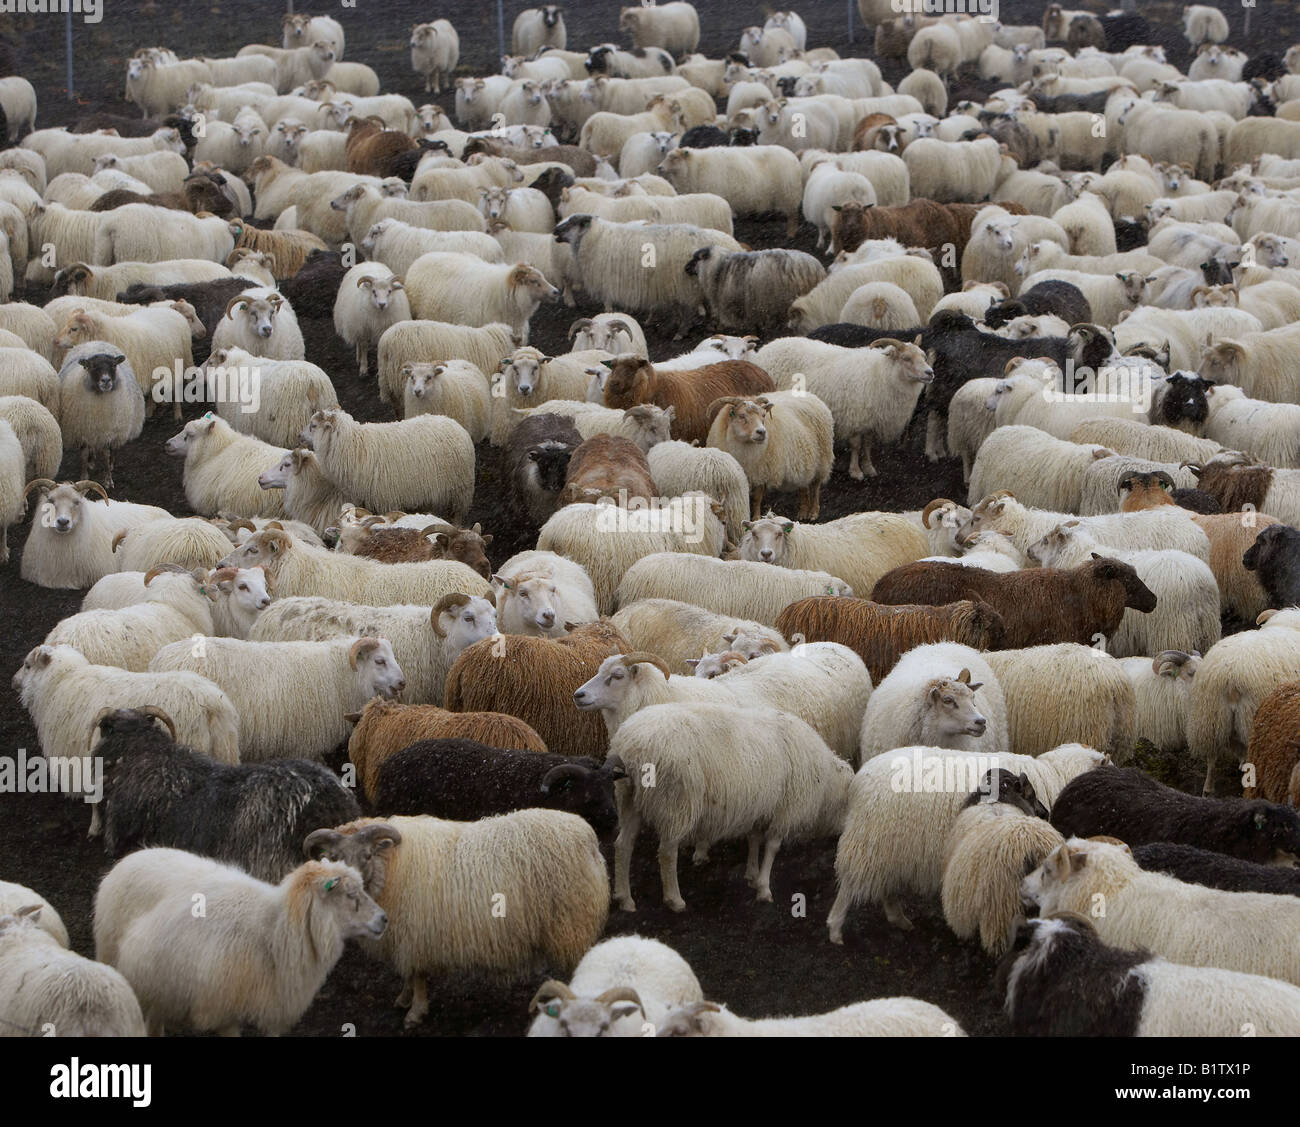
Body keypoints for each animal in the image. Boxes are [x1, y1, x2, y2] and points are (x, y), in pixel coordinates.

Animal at [827, 743, 1105, 937]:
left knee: (885, 883)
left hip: (887, 846)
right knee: (851, 881)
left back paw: (899, 919)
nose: (1045, 813)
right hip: (869, 839)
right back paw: (835, 926)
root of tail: (859, 779)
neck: (1056, 775)